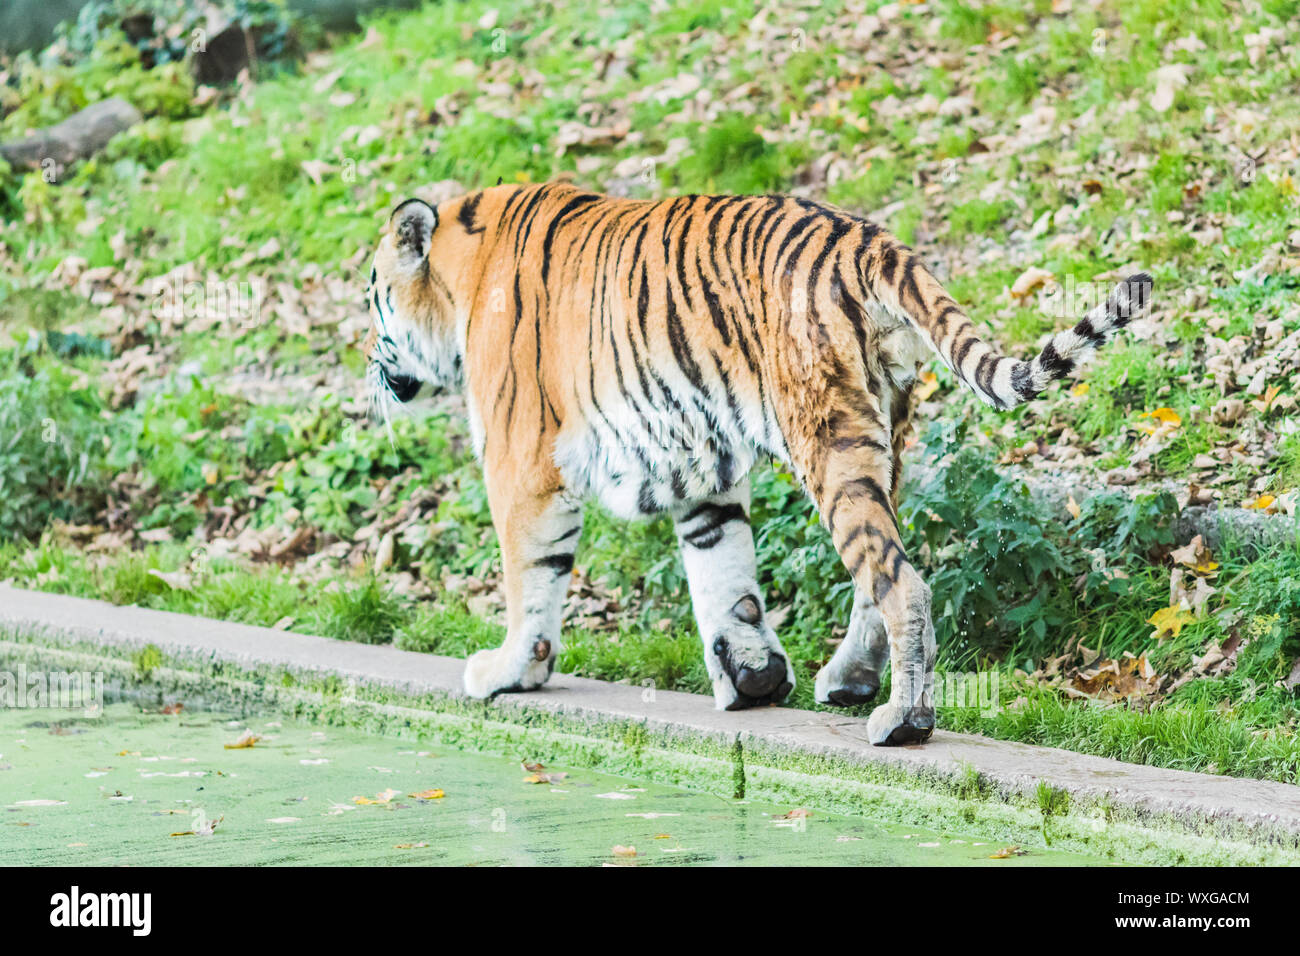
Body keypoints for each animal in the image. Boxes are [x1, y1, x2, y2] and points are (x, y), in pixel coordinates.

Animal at [362, 181, 1152, 746]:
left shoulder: (519, 459)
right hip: (881, 439)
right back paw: (850, 682)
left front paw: (508, 672)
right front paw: (755, 681)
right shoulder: (696, 466)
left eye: (373, 299)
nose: (371, 364)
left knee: (901, 583)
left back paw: (903, 720)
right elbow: (724, 572)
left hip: (823, 437)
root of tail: (870, 239)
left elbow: (530, 576)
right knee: (879, 568)